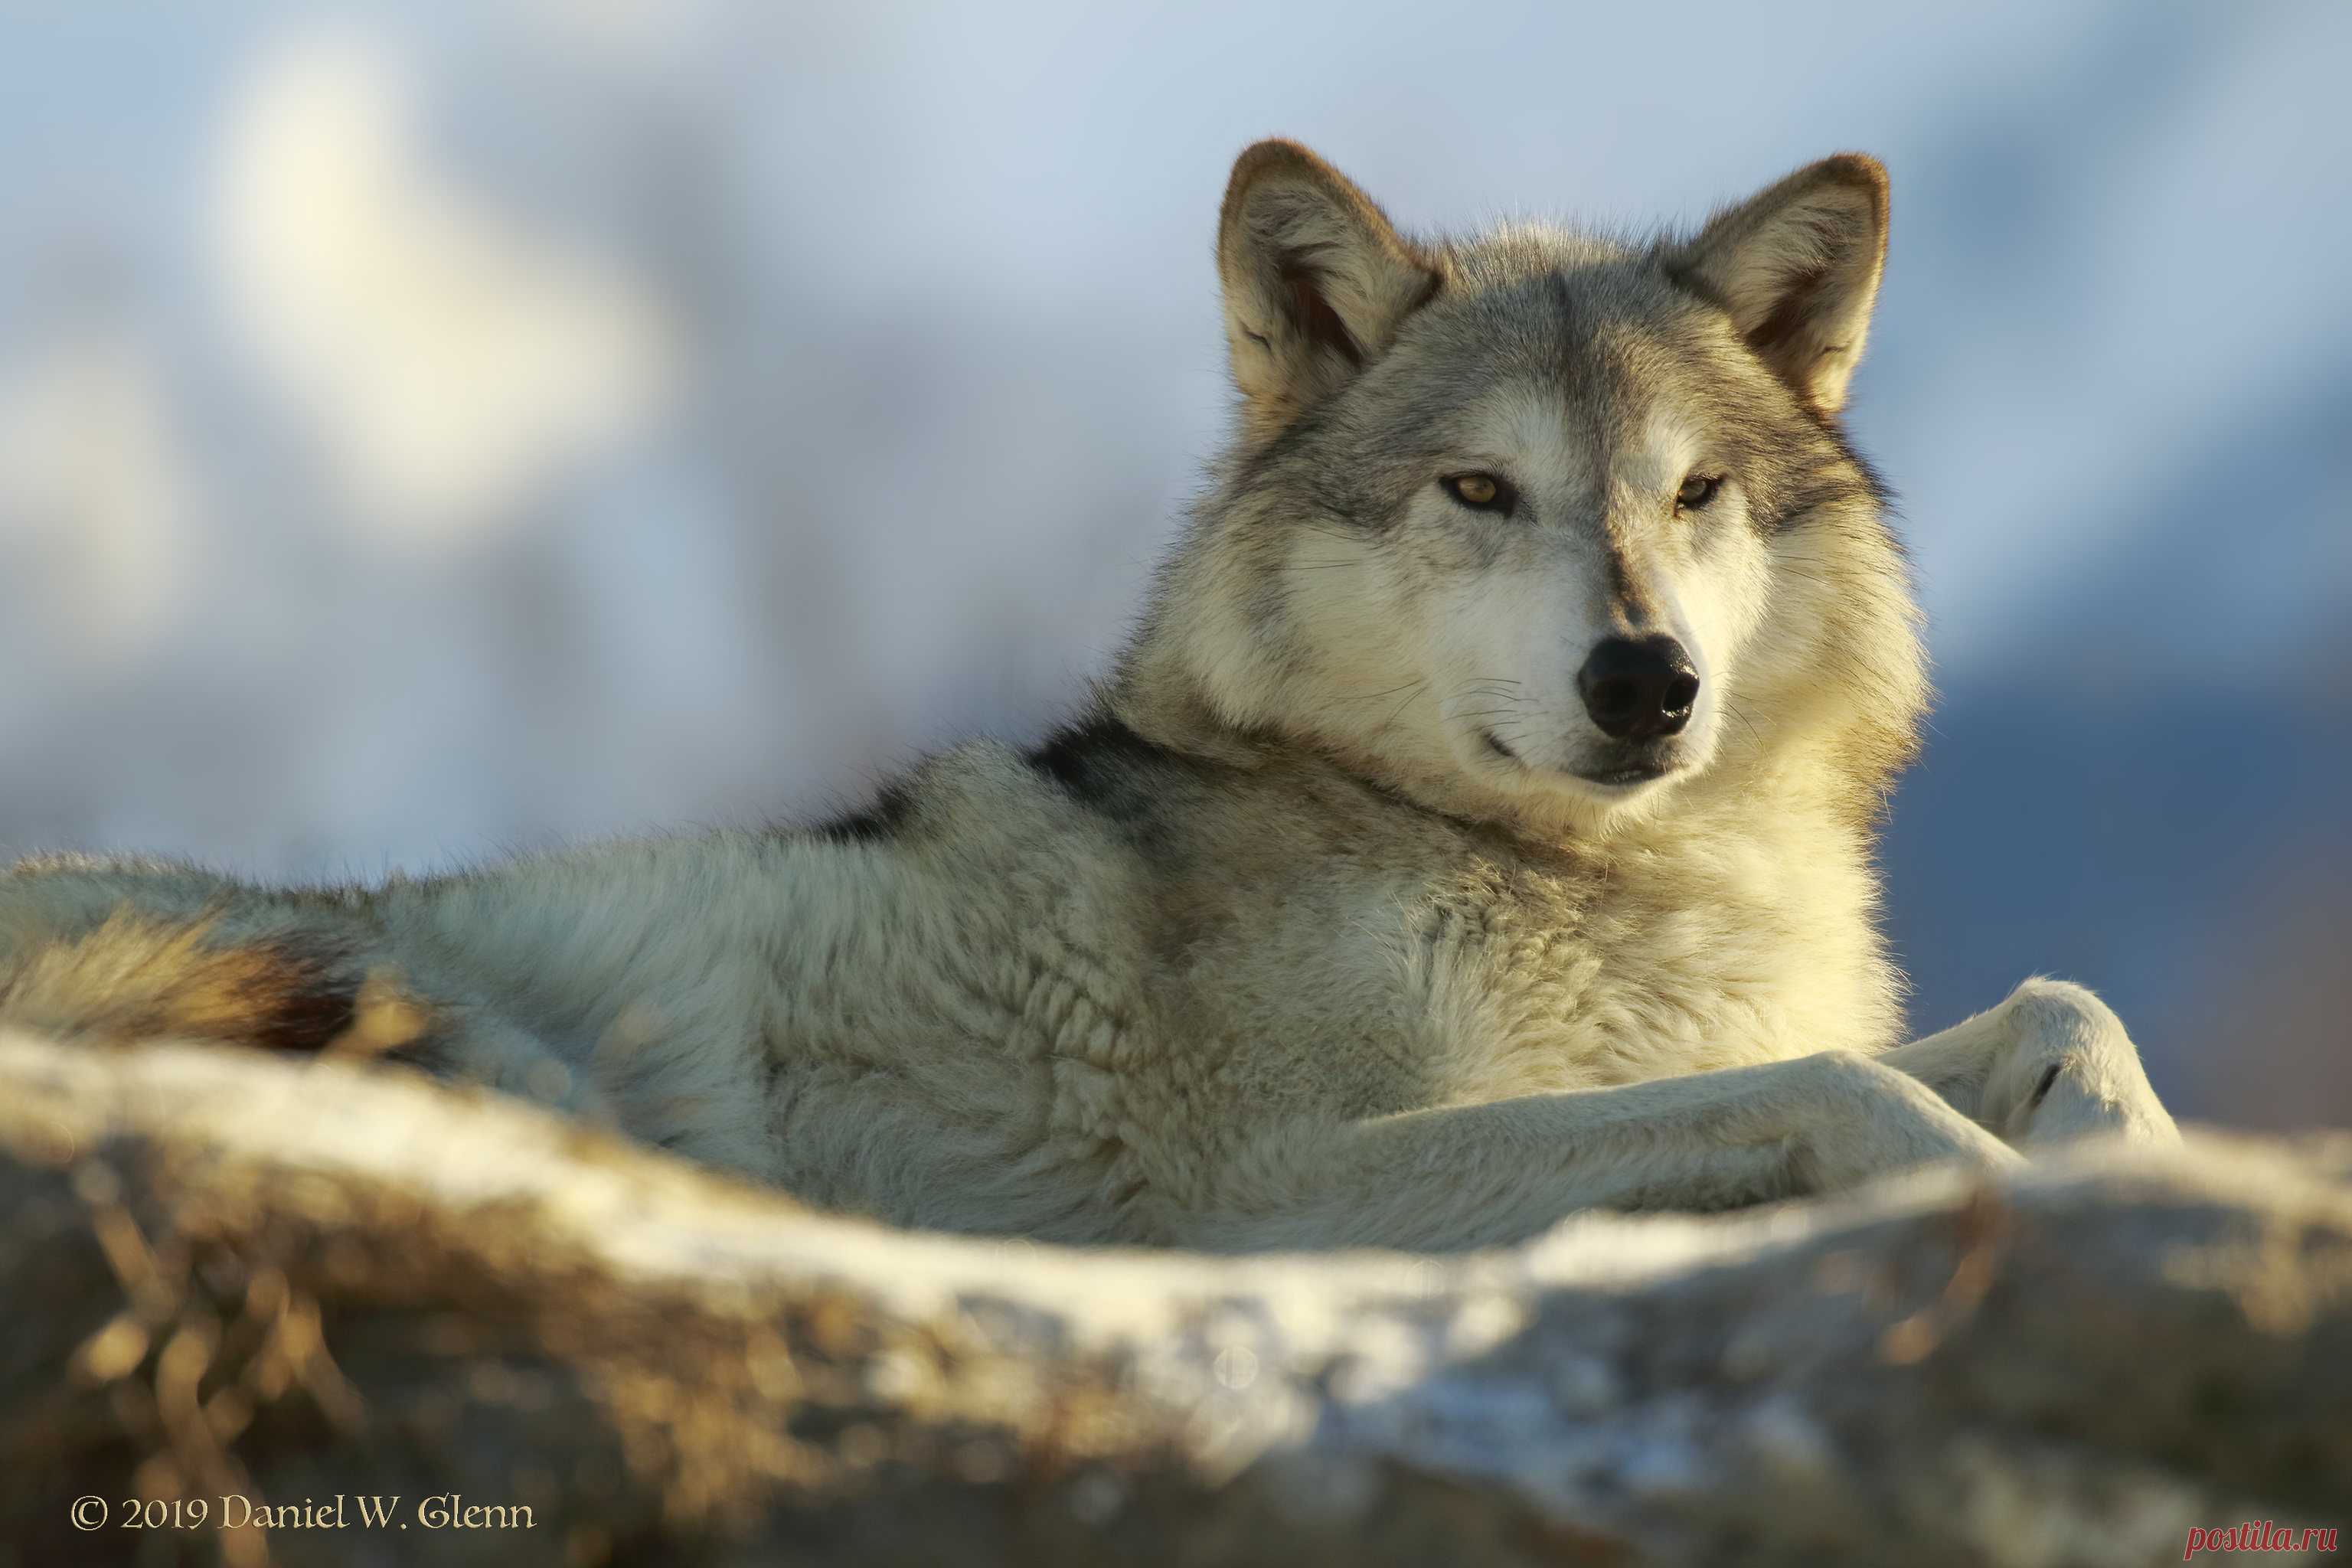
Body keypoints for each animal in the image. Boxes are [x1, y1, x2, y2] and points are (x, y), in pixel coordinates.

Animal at [0, 144, 2173, 1250]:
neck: (1598, 889)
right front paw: (2009, 1195)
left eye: (1691, 494)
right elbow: (1832, 1091)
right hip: (445, 1014)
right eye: (1479, 492)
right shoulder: (1285, 1182)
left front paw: (2120, 1144)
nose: (1644, 682)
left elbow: (2056, 1002)